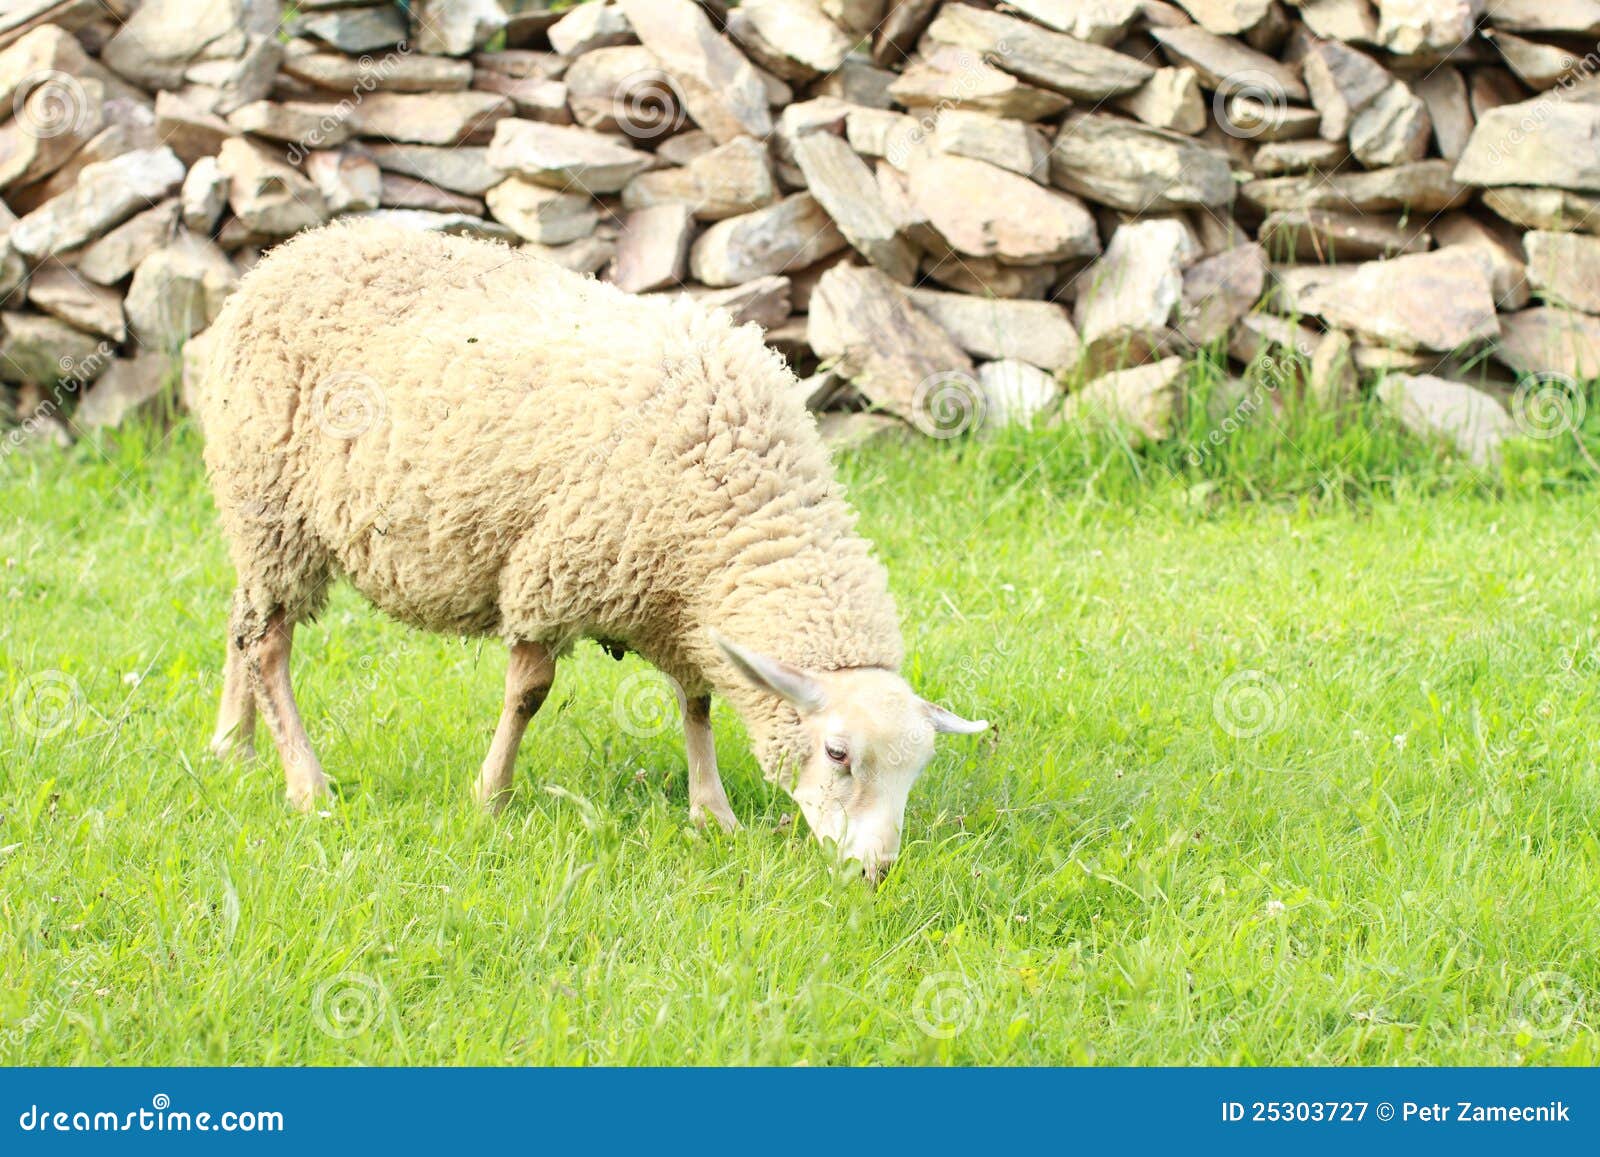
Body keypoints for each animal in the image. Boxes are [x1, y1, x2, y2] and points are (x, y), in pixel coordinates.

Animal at [197, 218, 987, 881]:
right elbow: (528, 694)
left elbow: (696, 702)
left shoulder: (676, 603)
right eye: (837, 753)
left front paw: (713, 813)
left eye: (917, 771)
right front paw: (491, 795)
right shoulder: (553, 570)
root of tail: (288, 252)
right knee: (269, 646)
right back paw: (306, 784)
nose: (876, 871)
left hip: (258, 521)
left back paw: (233, 747)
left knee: (242, 622)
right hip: (273, 503)